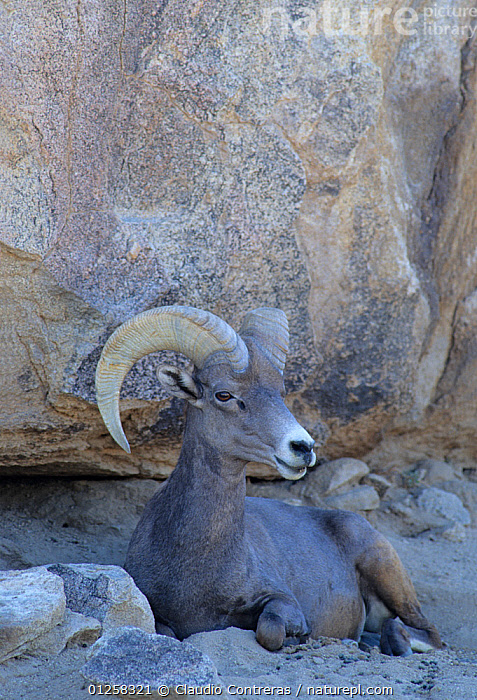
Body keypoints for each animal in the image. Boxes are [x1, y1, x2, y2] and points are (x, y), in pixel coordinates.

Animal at [95, 305, 442, 654]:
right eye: (224, 394)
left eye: (281, 393)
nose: (303, 447)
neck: (195, 559)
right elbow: (163, 630)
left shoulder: (280, 599)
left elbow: (270, 630)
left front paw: (297, 635)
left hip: (384, 569)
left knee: (420, 630)